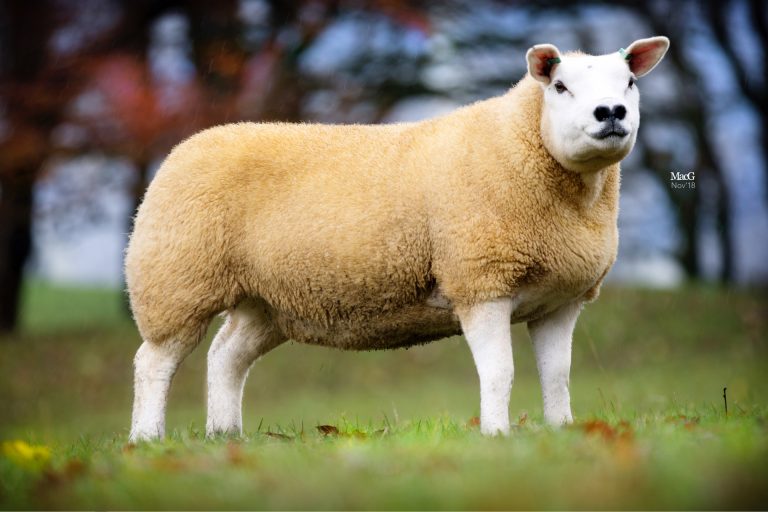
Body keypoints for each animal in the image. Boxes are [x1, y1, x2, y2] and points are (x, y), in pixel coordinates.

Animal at [126, 36, 670, 441]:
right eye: (559, 86)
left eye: (629, 82)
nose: (610, 112)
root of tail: (184, 147)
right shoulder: (480, 279)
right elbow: (500, 372)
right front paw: (496, 437)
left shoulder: (560, 299)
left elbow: (557, 375)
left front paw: (563, 432)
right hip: (176, 280)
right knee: (153, 362)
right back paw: (147, 438)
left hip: (268, 301)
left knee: (225, 357)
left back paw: (225, 434)